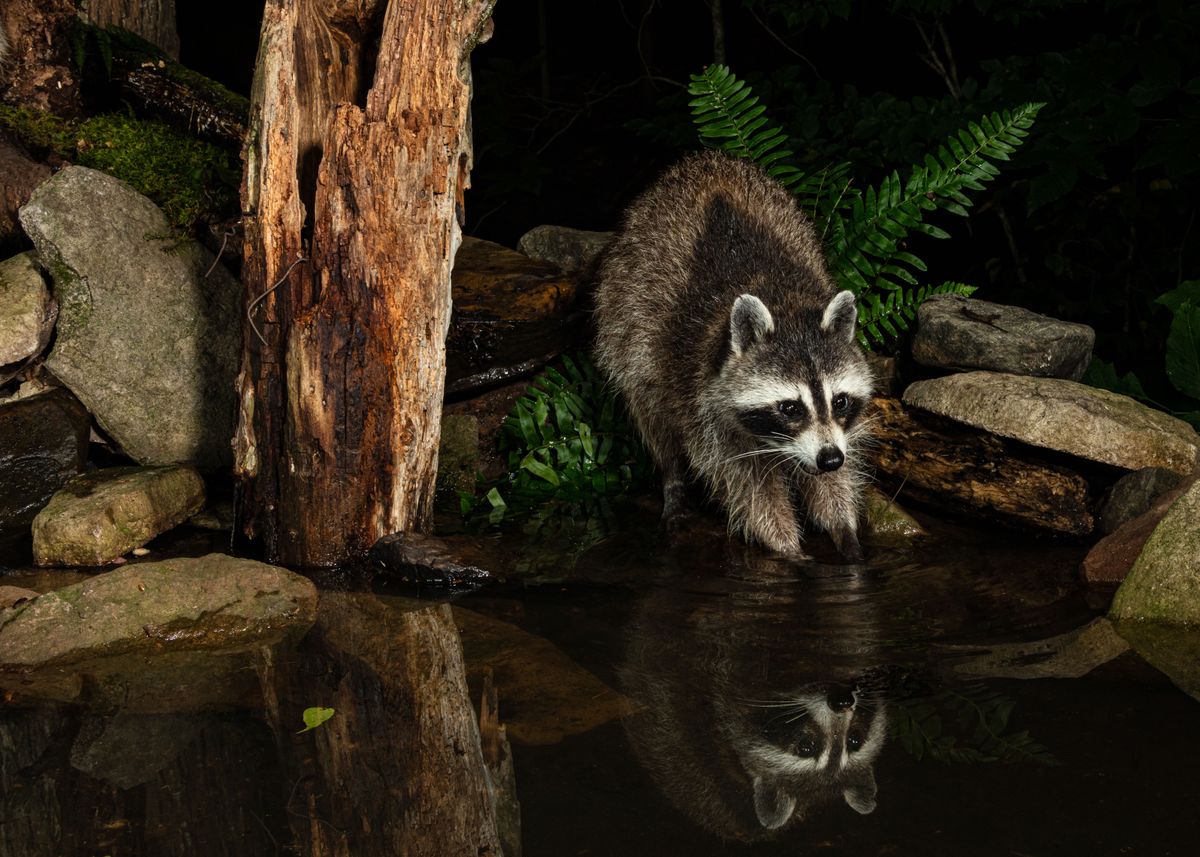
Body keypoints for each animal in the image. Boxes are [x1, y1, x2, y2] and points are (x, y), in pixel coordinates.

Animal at [594, 150, 874, 559]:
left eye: (839, 401)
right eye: (790, 407)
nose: (830, 458)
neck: (784, 304)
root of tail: (705, 159)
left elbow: (832, 483)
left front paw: (845, 530)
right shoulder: (704, 402)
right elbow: (750, 488)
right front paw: (788, 550)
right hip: (624, 317)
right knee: (649, 406)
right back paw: (672, 479)